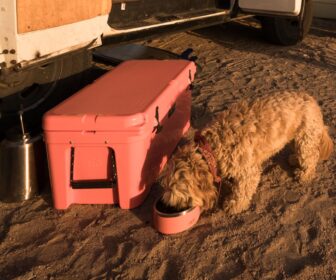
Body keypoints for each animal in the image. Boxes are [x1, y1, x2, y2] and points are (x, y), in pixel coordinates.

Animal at [160, 91, 334, 213]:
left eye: (180, 199)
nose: (172, 209)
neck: (211, 148)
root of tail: (312, 101)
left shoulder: (248, 171)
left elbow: (242, 191)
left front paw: (234, 205)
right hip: (296, 137)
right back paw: (293, 159)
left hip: (305, 138)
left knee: (311, 157)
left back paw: (304, 174)